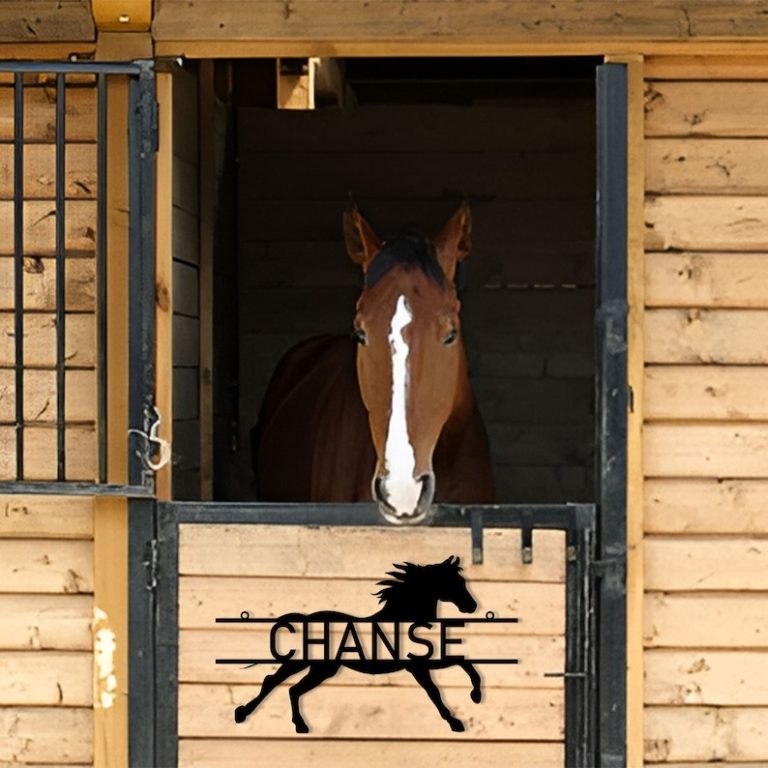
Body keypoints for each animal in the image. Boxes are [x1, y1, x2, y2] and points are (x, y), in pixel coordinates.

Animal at [233, 556, 482, 733]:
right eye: (453, 582)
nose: (471, 606)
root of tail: (307, 619)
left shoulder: (426, 662)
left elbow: (465, 664)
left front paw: (475, 697)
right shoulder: (417, 666)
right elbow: (434, 692)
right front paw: (456, 722)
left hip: (320, 668)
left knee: (289, 687)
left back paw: (292, 724)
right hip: (310, 665)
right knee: (276, 682)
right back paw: (248, 715)